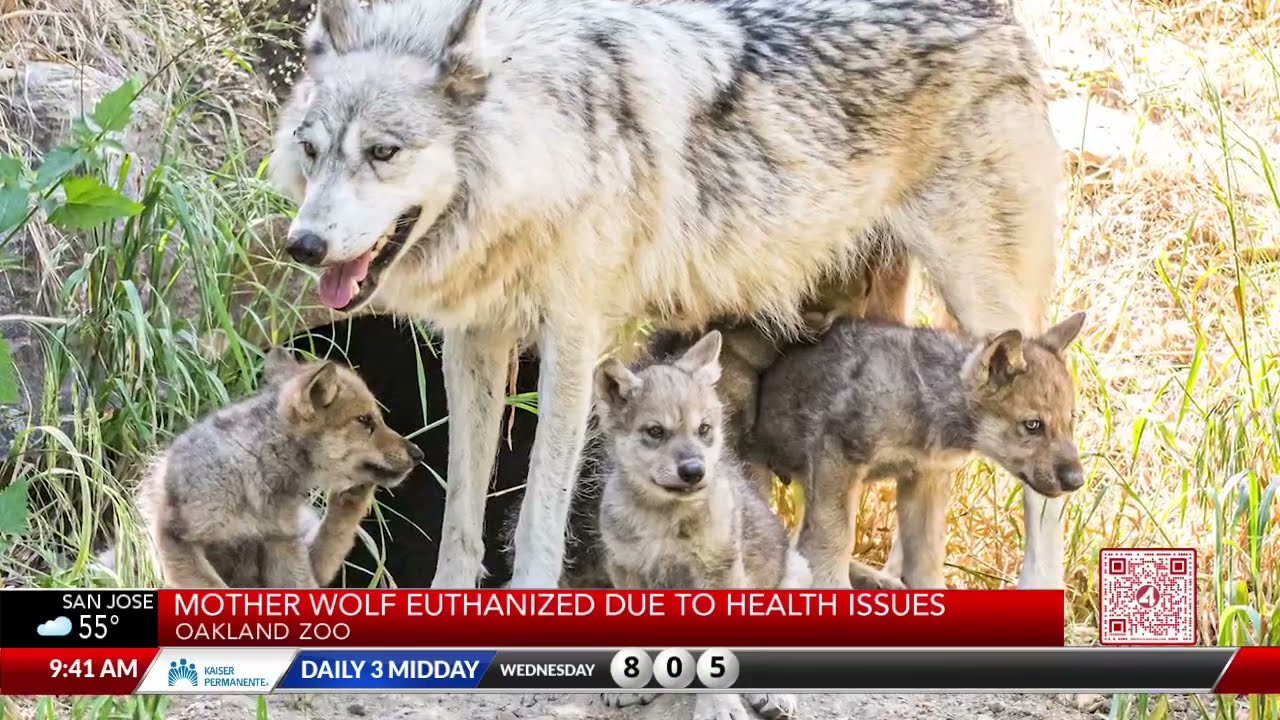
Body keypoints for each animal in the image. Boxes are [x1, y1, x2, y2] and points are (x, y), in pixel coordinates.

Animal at [595, 330, 808, 720]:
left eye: (704, 429)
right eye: (655, 431)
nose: (694, 471)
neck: (665, 518)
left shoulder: (718, 572)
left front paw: (719, 706)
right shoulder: (627, 570)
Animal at [749, 313, 1087, 589]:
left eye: (1071, 420)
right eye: (1032, 425)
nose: (1077, 481)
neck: (927, 396)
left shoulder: (925, 477)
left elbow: (926, 556)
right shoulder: (839, 459)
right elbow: (835, 539)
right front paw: (833, 589)